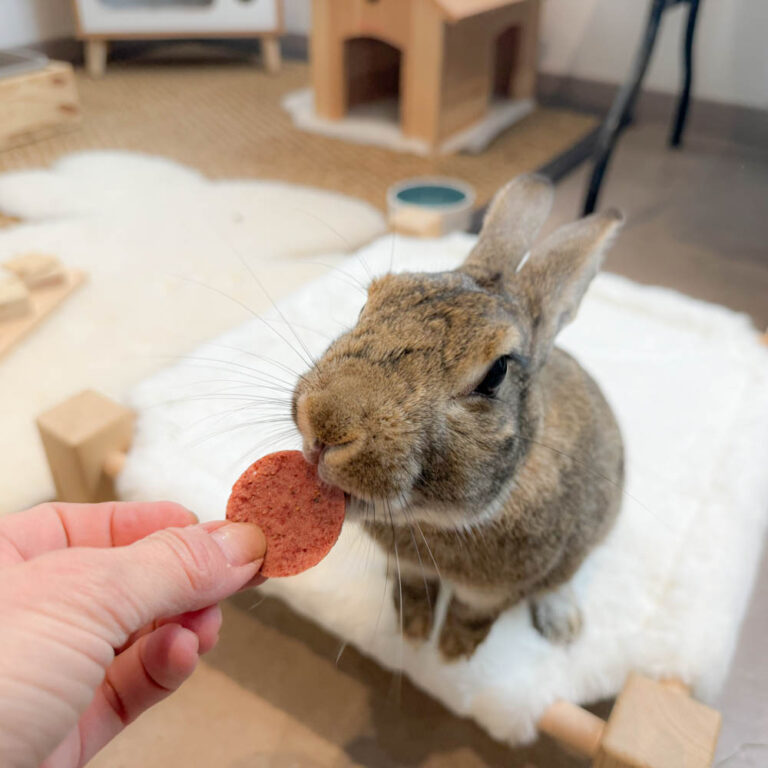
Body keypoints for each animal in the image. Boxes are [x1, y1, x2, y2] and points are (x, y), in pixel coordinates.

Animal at [291, 174, 624, 659]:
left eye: (496, 373)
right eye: (366, 308)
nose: (324, 423)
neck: (436, 522)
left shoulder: (491, 591)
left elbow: (472, 615)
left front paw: (451, 652)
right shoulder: (408, 566)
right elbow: (414, 589)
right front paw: (414, 633)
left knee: (560, 581)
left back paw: (562, 626)